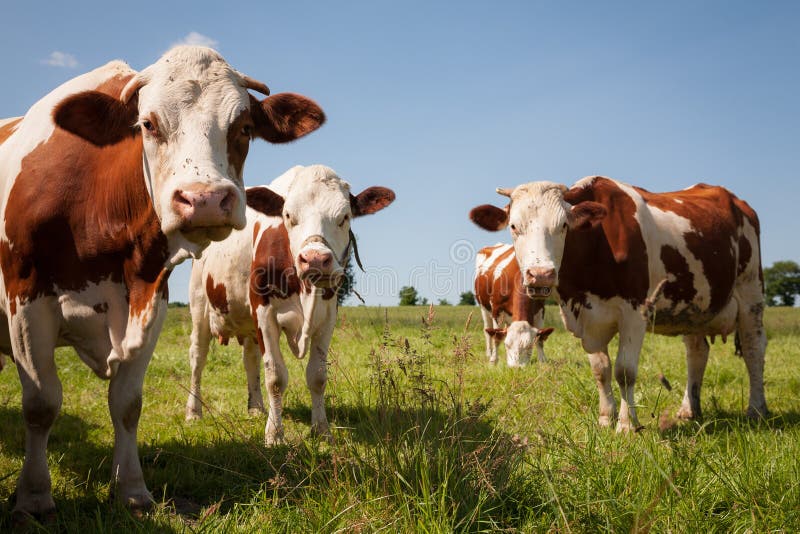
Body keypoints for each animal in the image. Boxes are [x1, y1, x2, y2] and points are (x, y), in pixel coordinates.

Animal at [0, 47, 324, 524]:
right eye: (148, 124)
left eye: (244, 128)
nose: (204, 199)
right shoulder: (26, 299)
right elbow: (41, 404)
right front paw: (35, 498)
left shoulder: (151, 303)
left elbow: (127, 404)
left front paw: (133, 490)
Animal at [182, 164, 394, 448]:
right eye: (288, 216)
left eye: (345, 217)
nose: (315, 259)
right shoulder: (264, 313)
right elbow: (275, 377)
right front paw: (274, 434)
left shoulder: (327, 317)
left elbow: (317, 376)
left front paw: (322, 430)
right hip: (199, 306)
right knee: (198, 357)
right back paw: (193, 412)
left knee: (250, 358)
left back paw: (256, 408)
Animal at [472, 178, 764, 434]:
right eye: (513, 226)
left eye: (564, 225)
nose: (541, 274)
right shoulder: (586, 319)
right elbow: (601, 370)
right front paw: (605, 419)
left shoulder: (635, 313)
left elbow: (625, 371)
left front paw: (627, 424)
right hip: (695, 308)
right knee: (696, 352)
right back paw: (688, 410)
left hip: (751, 291)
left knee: (753, 350)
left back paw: (756, 410)